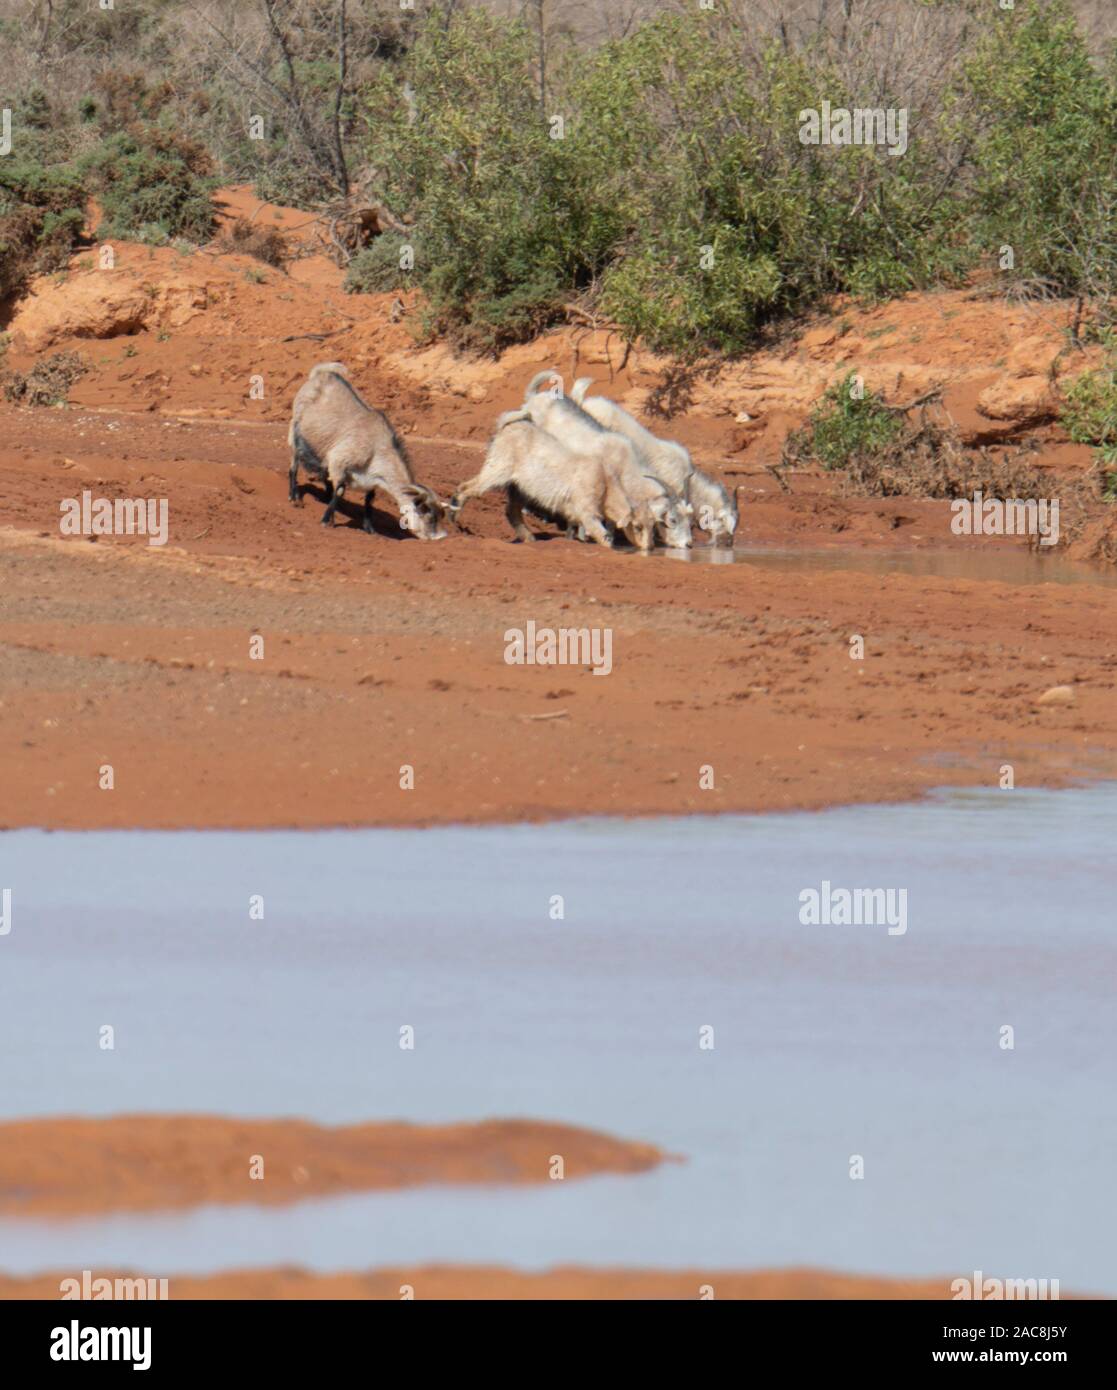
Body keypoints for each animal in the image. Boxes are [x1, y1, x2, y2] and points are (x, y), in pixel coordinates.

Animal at [288, 362, 447, 539]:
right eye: (427, 515)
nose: (440, 537)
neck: (376, 448)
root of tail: (322, 373)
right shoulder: (339, 461)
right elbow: (340, 491)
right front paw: (327, 521)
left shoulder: (371, 478)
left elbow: (369, 499)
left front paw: (370, 529)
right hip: (296, 430)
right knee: (294, 464)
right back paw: (294, 497)